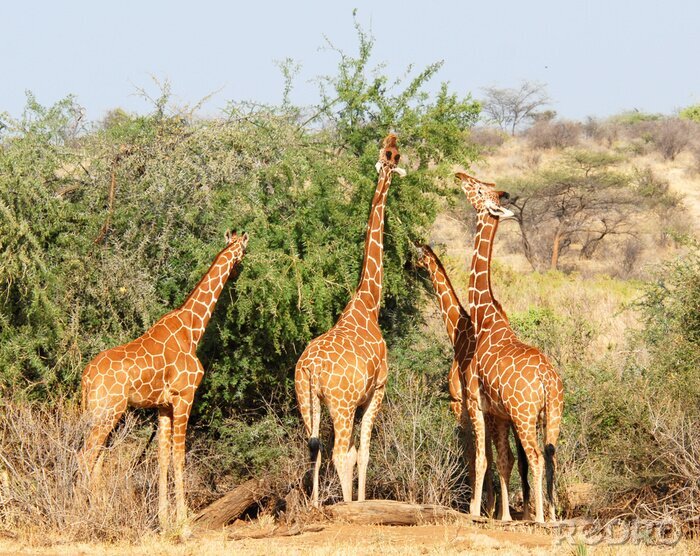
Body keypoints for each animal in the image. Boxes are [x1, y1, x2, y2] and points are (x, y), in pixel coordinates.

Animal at [80, 229, 249, 528]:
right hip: (107, 411)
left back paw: (100, 513)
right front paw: (183, 522)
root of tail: (87, 377)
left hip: (101, 412)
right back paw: (80, 514)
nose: (239, 269)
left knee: (96, 458)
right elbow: (179, 457)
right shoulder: (185, 396)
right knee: (86, 456)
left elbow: (162, 458)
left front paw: (163, 520)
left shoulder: (163, 405)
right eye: (242, 249)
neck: (192, 329)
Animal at [296, 134, 404, 504]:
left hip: (307, 399)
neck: (368, 303)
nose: (393, 139)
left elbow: (356, 451)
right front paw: (360, 501)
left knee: (314, 448)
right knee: (338, 452)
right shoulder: (377, 390)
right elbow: (365, 451)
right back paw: (342, 505)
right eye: (394, 154)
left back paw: (315, 504)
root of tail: (311, 368)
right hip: (339, 405)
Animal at [456, 172, 568, 524]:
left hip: (525, 413)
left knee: (536, 457)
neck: (485, 319)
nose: (459, 175)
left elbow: (482, 459)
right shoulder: (501, 414)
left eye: (478, 191)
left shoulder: (476, 402)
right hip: (553, 413)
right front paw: (503, 515)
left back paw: (540, 517)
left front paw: (475, 511)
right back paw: (552, 514)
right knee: (551, 455)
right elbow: (503, 460)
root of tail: (547, 380)